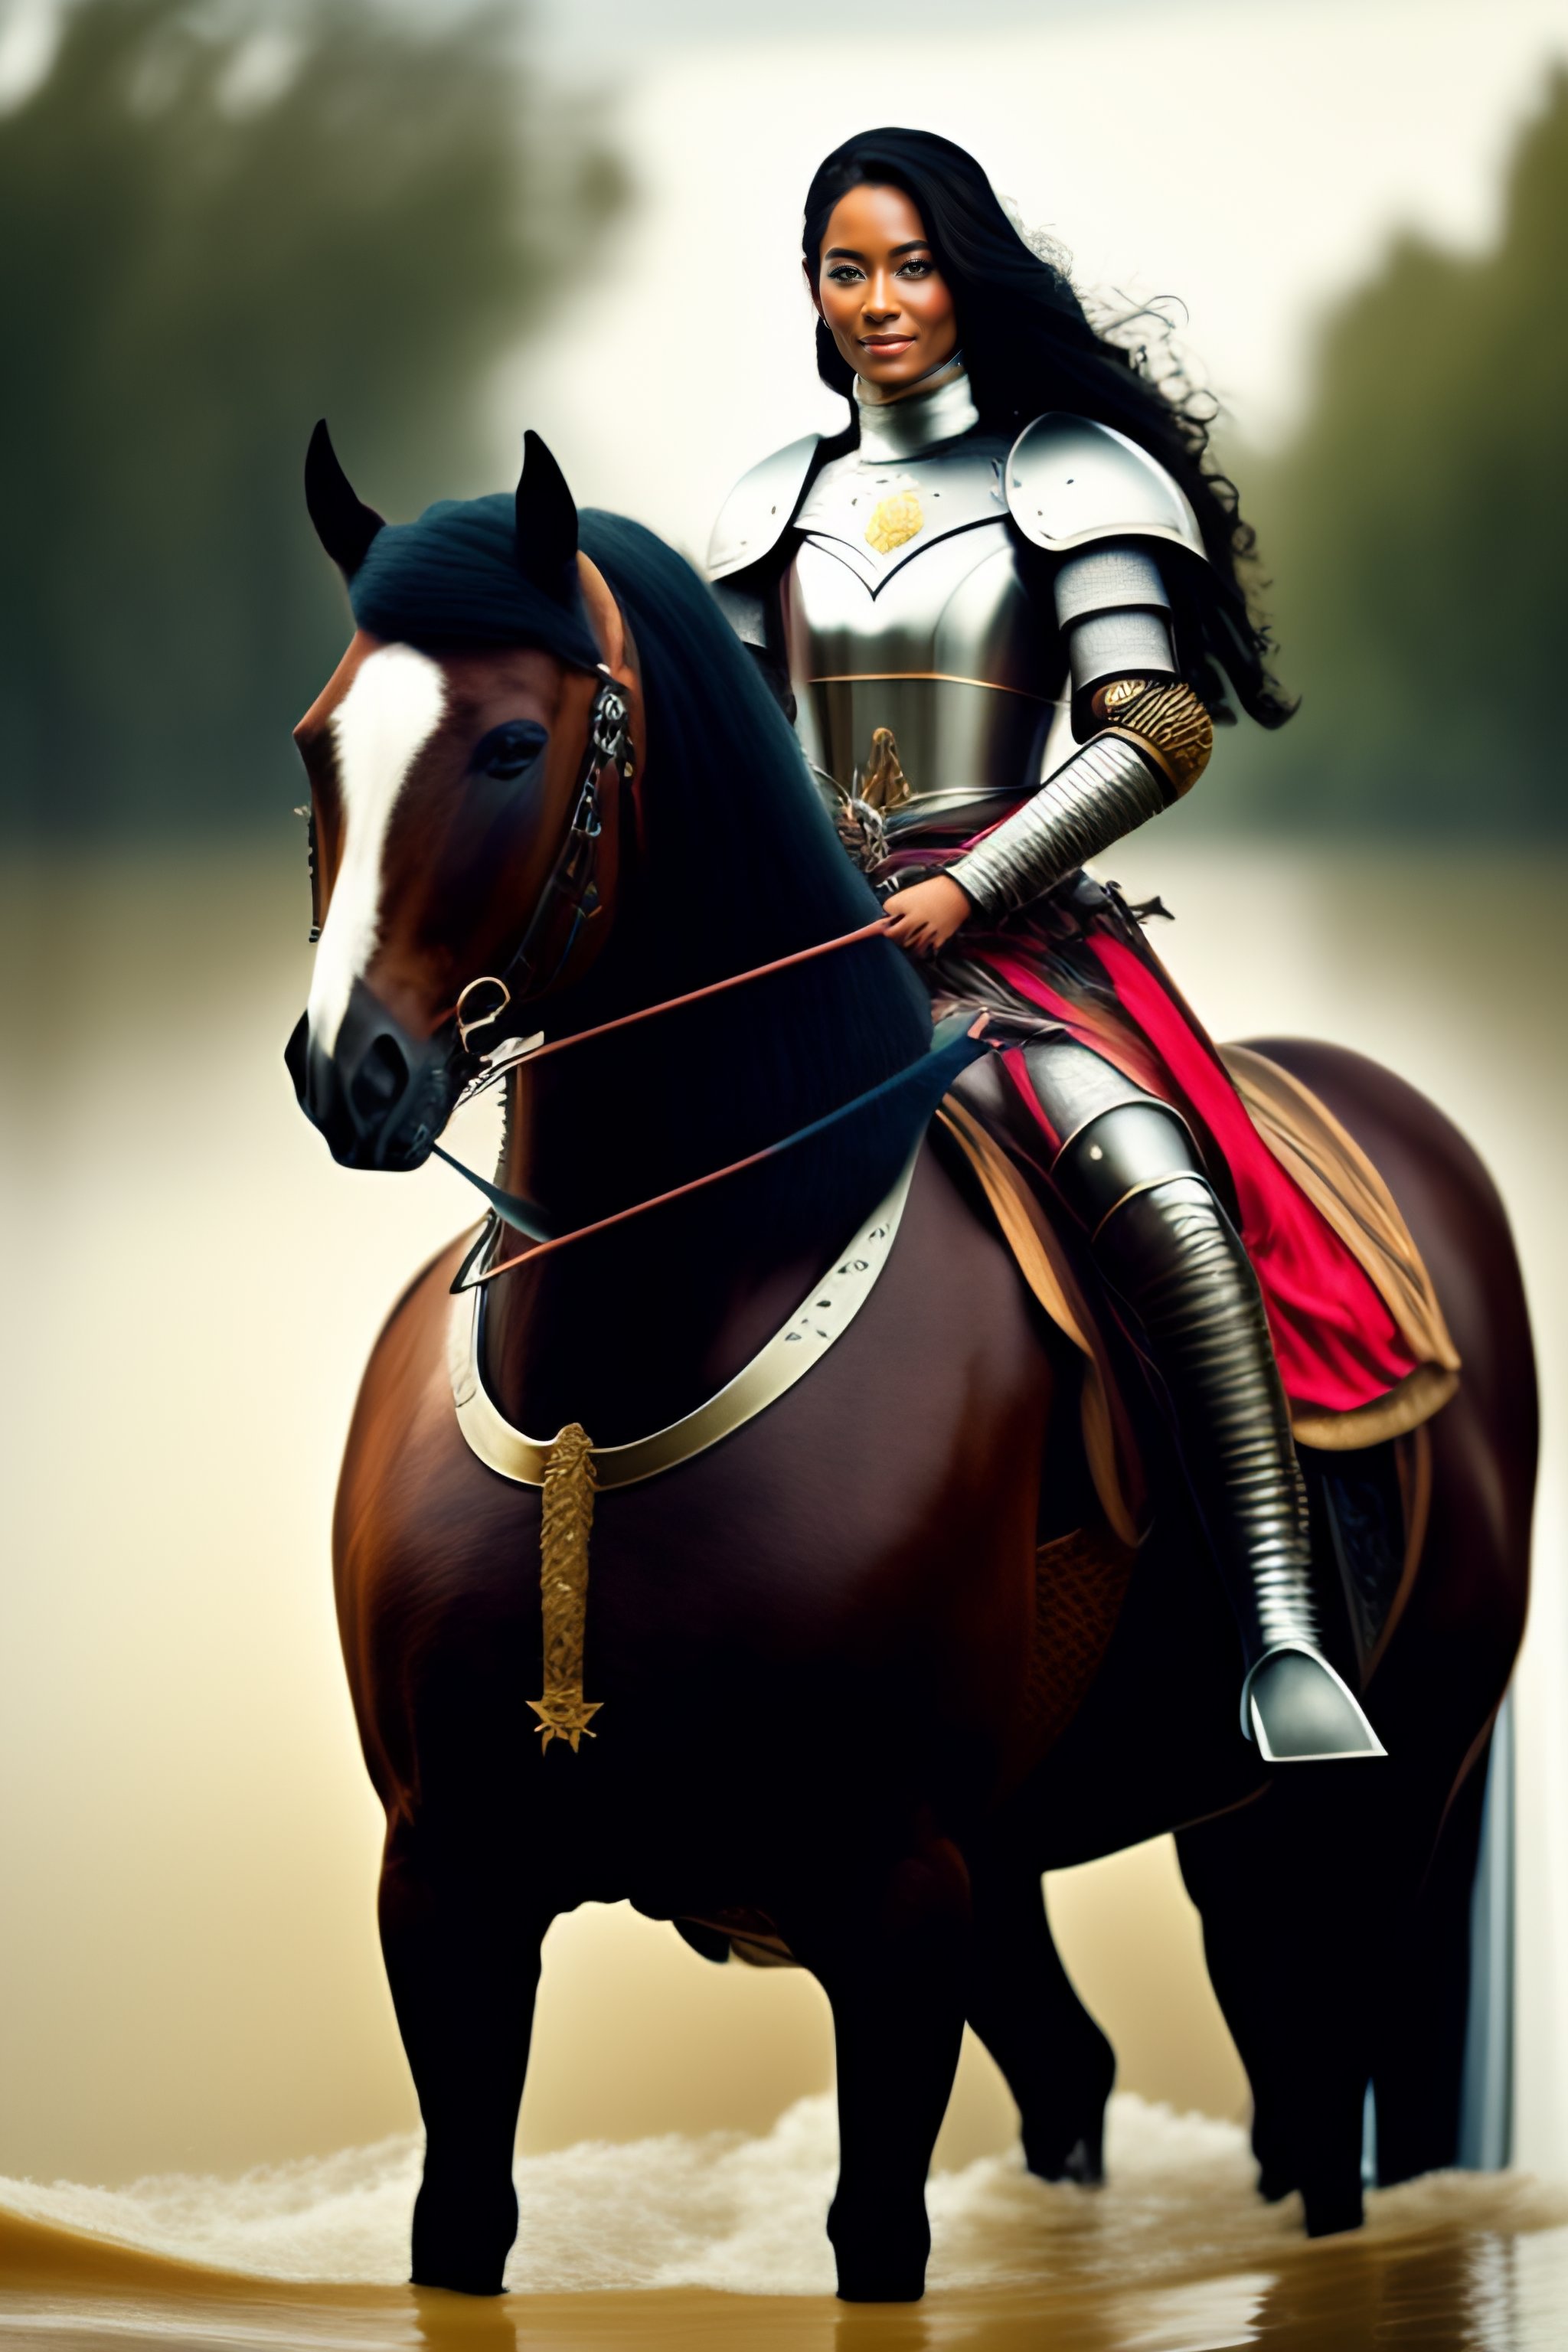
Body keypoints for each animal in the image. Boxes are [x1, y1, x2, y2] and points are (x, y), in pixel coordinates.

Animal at [285, 427, 1534, 2302]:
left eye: (509, 744)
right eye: (319, 743)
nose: (348, 1069)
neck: (638, 1344)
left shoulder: (888, 1901)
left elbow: (878, 2231)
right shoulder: (447, 1884)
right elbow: (461, 2221)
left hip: (1357, 1807)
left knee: (1318, 2109)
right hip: (1063, 1846)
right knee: (1094, 2071)